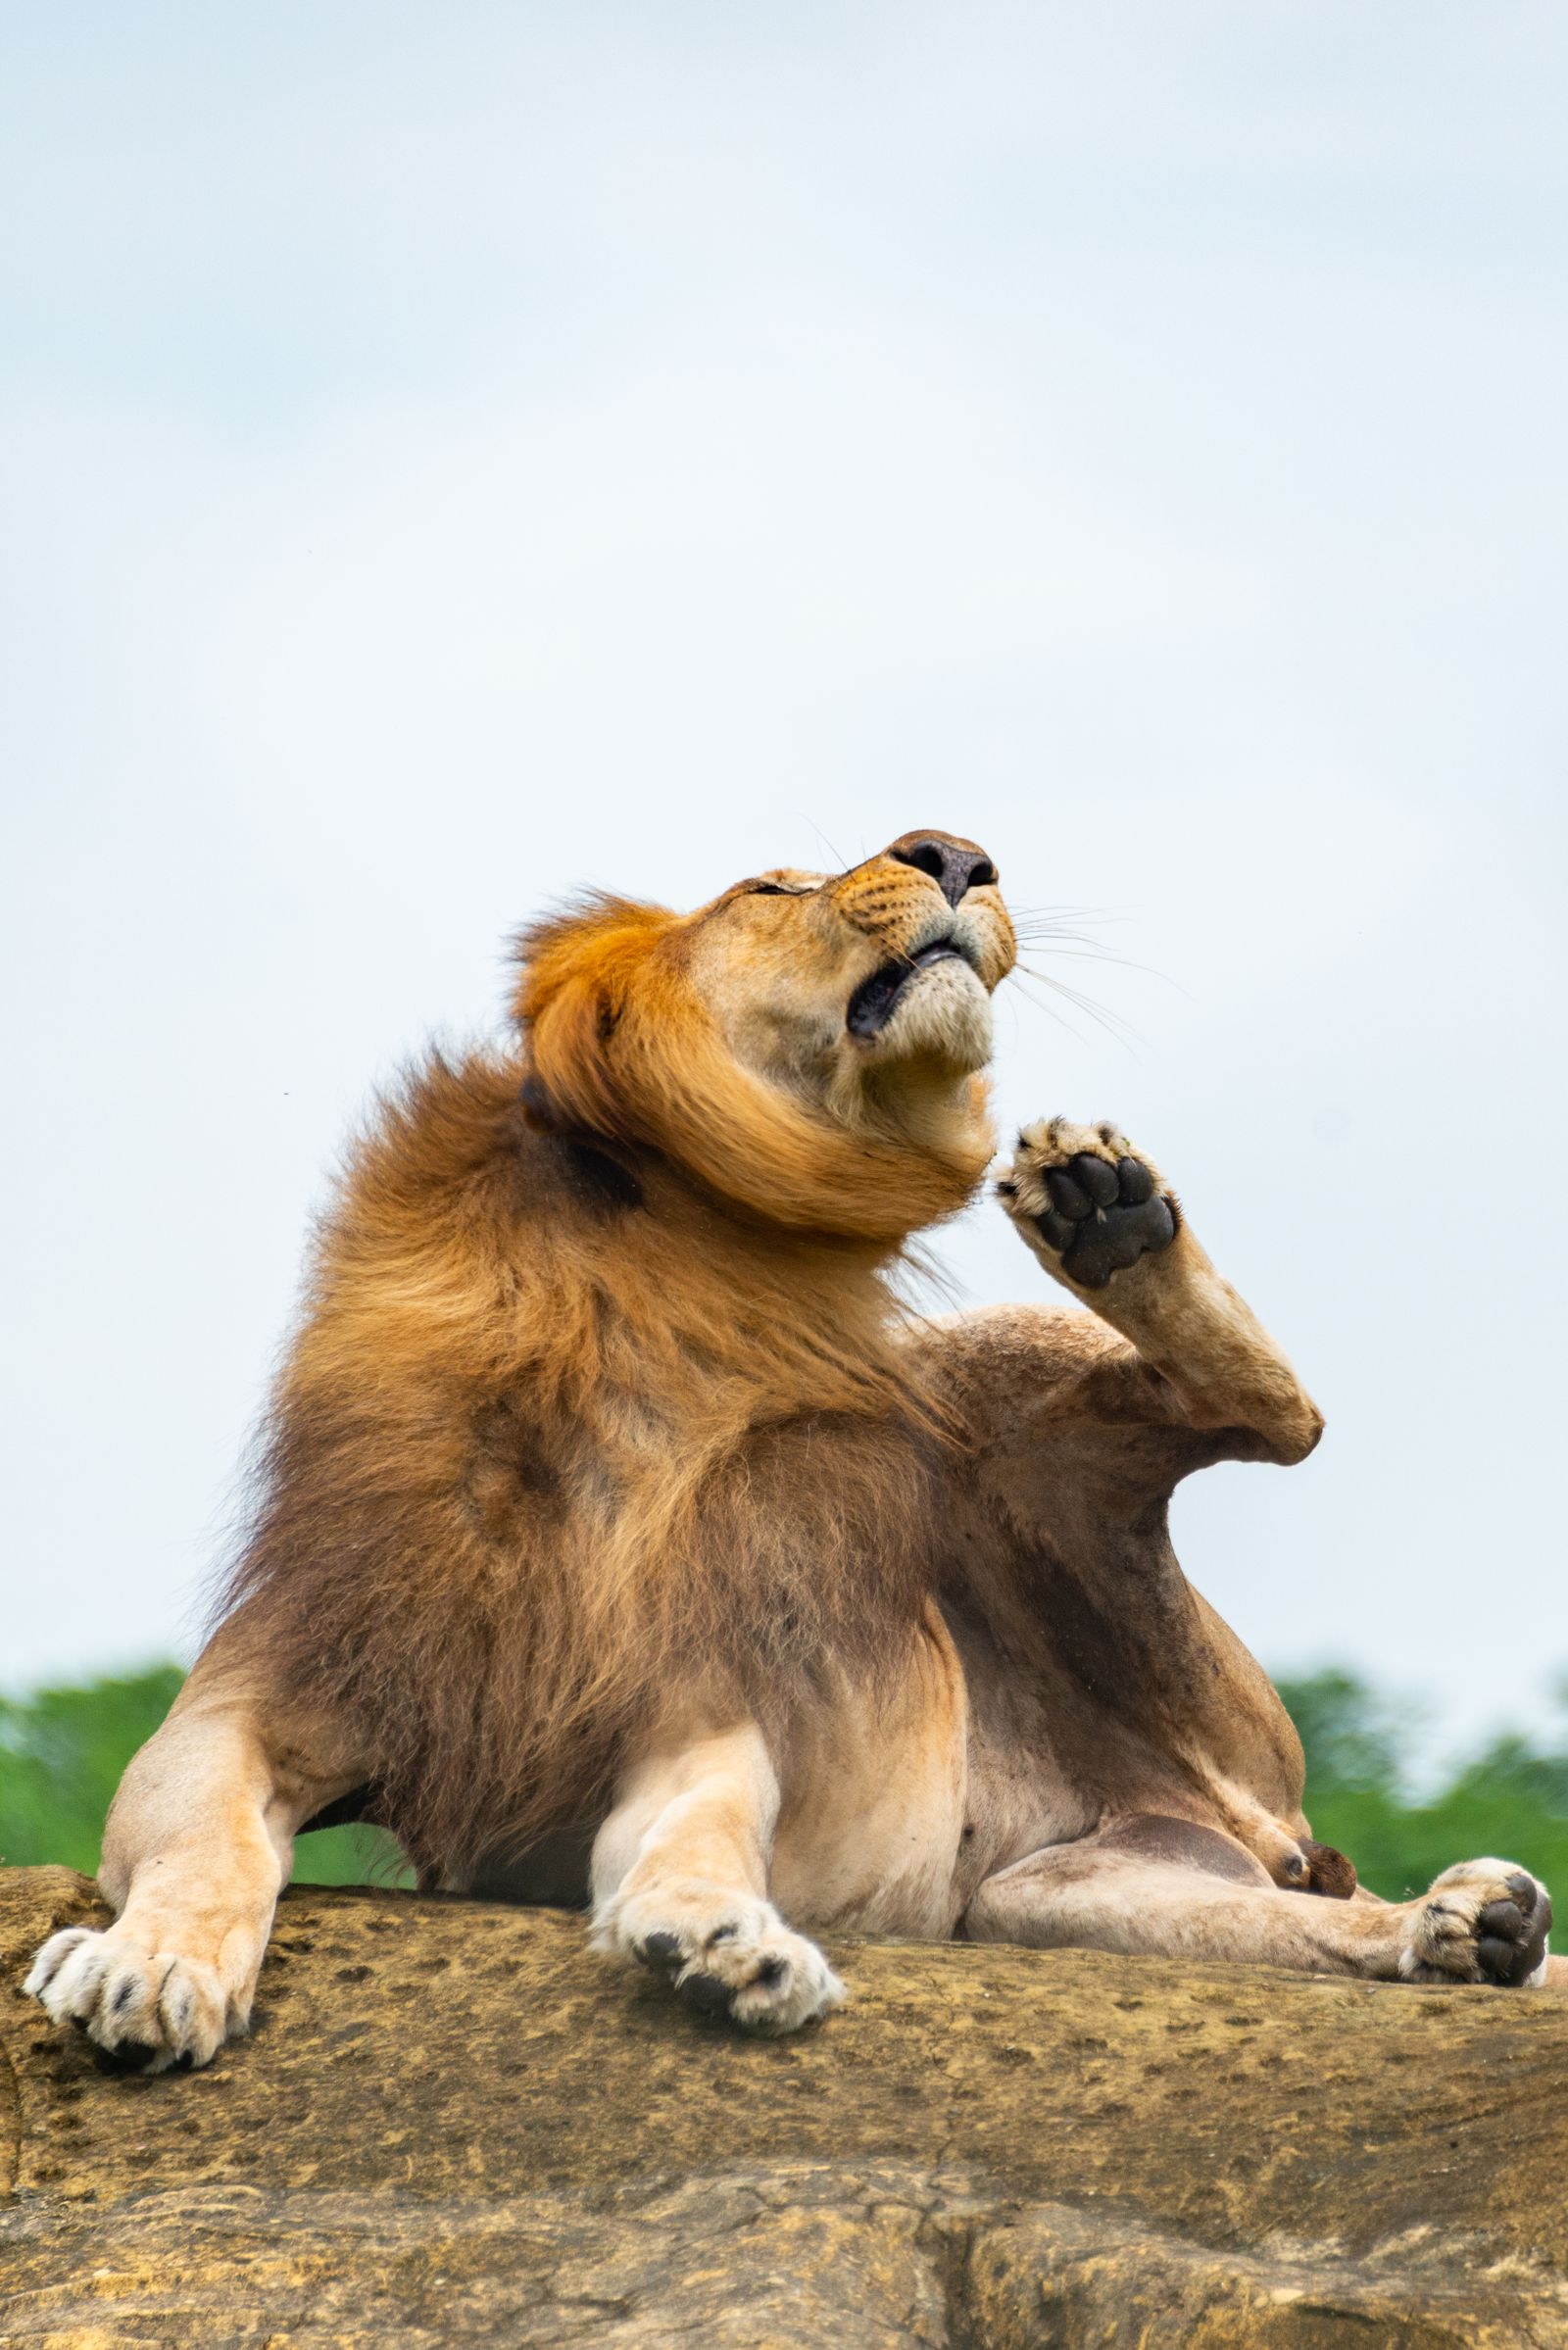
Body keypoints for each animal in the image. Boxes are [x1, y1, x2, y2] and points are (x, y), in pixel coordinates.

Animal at [27, 829, 1554, 2066]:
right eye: (766, 886)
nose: (957, 850)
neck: (644, 1329)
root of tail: (1250, 1817)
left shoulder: (710, 1703)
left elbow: (698, 1825)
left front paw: (723, 1936)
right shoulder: (260, 1694)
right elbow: (207, 1838)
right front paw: (145, 1967)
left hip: (1004, 1399)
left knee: (1276, 1417)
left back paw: (1101, 1204)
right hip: (1061, 1901)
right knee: (1299, 1919)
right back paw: (1457, 1930)